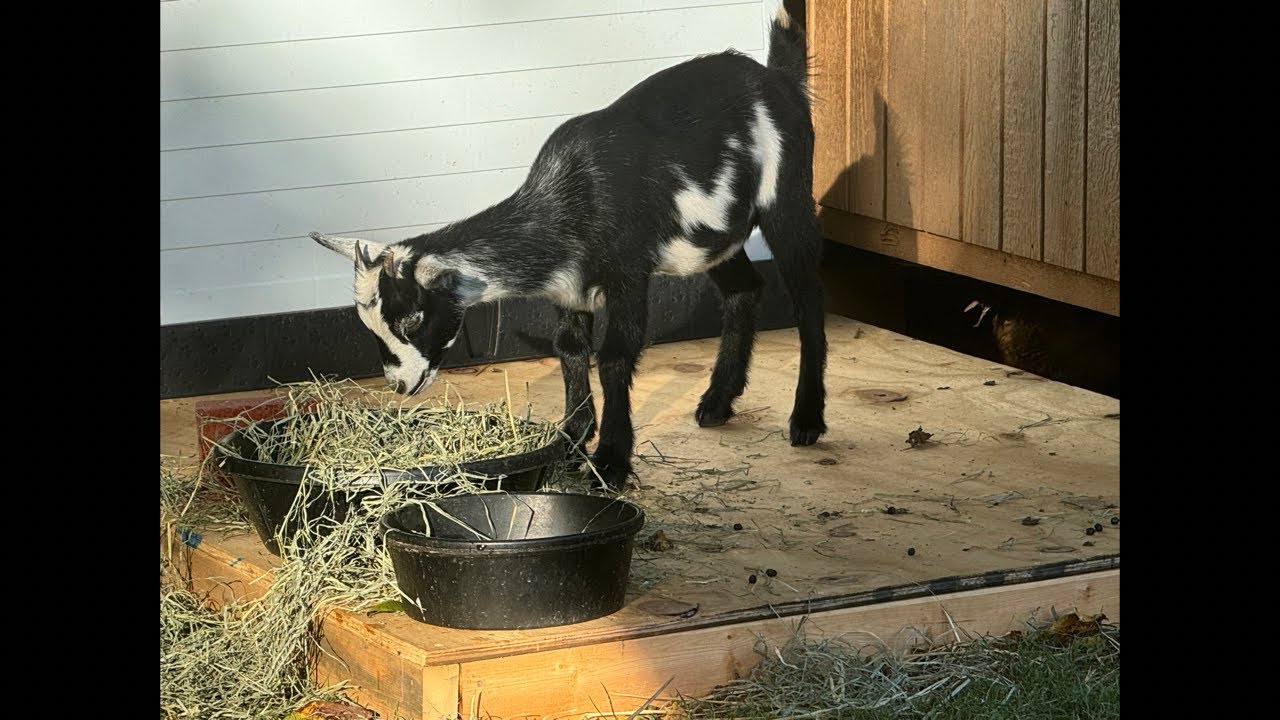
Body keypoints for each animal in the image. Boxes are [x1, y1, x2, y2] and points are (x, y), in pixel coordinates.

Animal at [311, 7, 827, 490]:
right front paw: (572, 438)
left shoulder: (627, 272)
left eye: (413, 320)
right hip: (714, 237)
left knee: (808, 300)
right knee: (745, 289)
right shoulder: (566, 288)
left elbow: (615, 354)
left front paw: (612, 460)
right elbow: (569, 348)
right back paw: (717, 402)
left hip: (787, 195)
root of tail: (778, 78)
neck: (571, 201)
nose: (398, 384)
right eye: (368, 326)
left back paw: (806, 420)